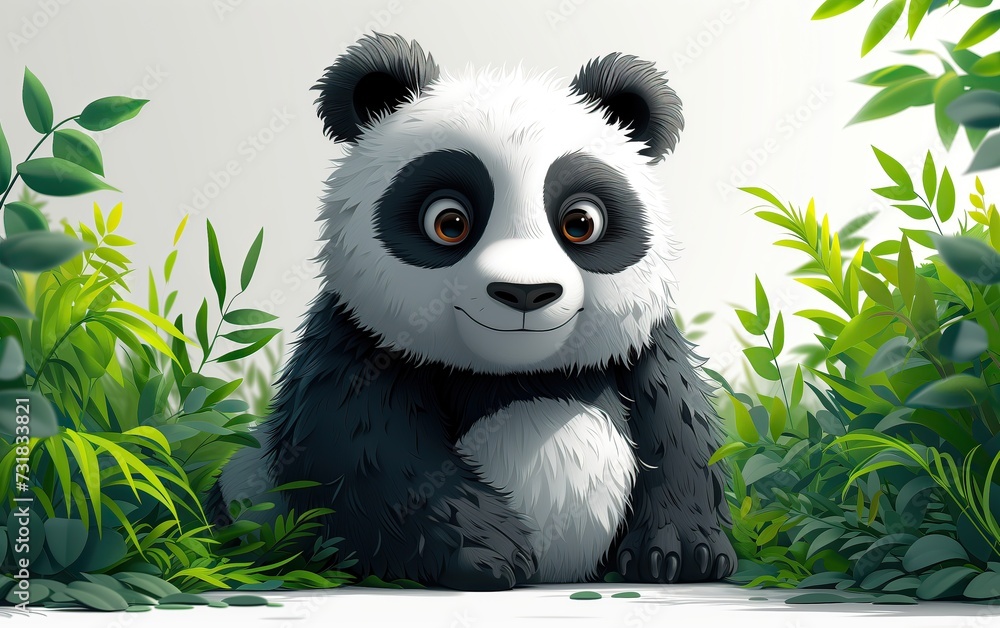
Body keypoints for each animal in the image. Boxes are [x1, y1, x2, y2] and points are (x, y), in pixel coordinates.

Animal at [216, 33, 736, 591]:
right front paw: (488, 551)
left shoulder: (644, 343)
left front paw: (681, 552)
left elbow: (681, 427)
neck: (518, 371)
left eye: (580, 222)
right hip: (253, 486)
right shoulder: (359, 338)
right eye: (449, 223)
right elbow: (361, 450)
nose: (525, 293)